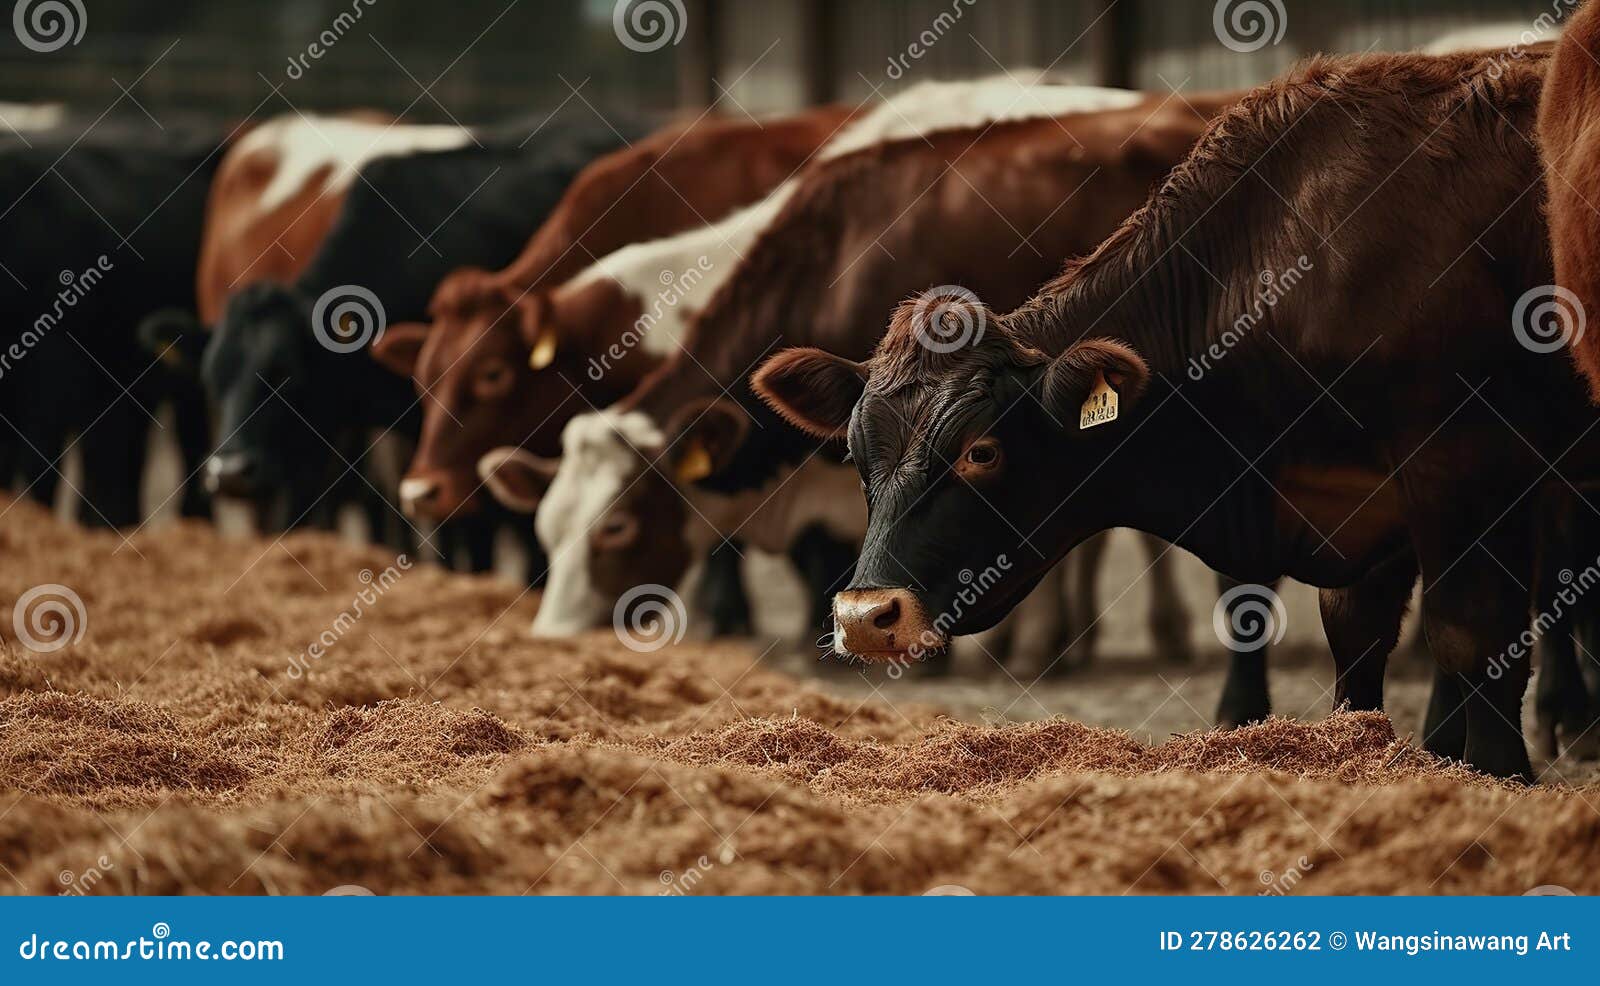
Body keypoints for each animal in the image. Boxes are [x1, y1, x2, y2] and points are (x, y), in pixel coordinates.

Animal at [755, 46, 1585, 780]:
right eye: (856, 454)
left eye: (980, 451)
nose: (864, 618)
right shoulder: (1364, 513)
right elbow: (1359, 638)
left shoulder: (1468, 462)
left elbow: (1474, 636)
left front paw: (1499, 774)